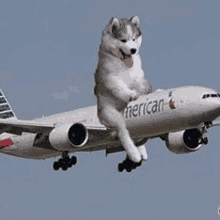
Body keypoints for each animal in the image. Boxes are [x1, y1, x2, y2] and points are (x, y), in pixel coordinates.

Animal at [93, 15, 152, 163]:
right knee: (123, 132)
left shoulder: (138, 75)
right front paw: (130, 94)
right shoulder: (110, 77)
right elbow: (119, 86)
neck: (124, 64)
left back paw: (141, 151)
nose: (133, 50)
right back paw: (134, 153)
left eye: (134, 39)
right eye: (123, 40)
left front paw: (144, 91)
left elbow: (142, 85)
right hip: (112, 115)